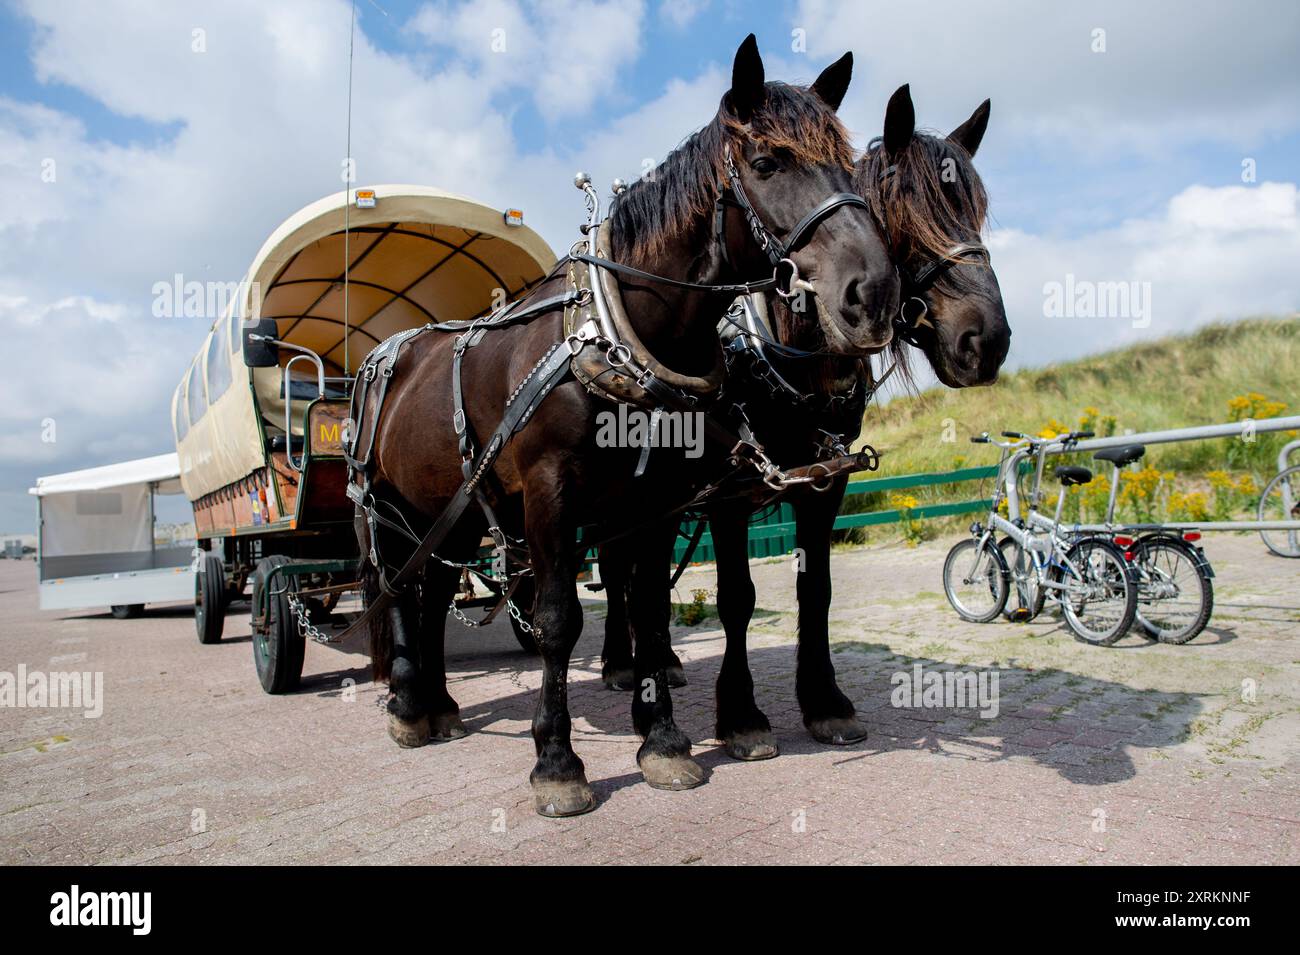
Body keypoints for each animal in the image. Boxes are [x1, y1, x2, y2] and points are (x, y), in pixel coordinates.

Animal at [354, 36, 900, 816]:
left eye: (850, 167)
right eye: (767, 162)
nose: (874, 293)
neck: (618, 337)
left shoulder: (657, 500)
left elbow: (649, 607)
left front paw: (665, 742)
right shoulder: (550, 493)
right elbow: (559, 619)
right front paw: (557, 760)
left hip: (450, 510)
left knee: (429, 596)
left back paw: (439, 703)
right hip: (385, 507)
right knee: (398, 587)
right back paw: (405, 703)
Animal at [597, 84, 1012, 761]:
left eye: (974, 209)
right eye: (900, 212)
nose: (988, 341)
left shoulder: (826, 481)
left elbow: (815, 589)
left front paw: (825, 701)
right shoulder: (731, 492)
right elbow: (736, 598)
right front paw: (740, 715)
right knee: (619, 572)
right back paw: (619, 664)